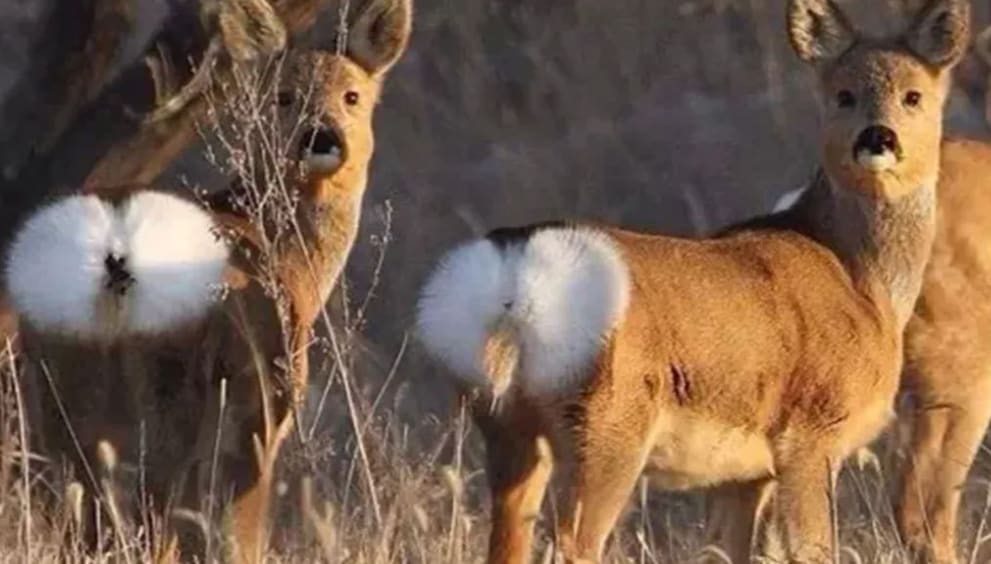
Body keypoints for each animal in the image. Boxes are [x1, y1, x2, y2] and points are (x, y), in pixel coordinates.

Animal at [1, 0, 412, 560]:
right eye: (282, 95)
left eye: (352, 94)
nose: (321, 137)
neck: (290, 260)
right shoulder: (261, 405)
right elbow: (235, 534)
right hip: (175, 397)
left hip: (58, 393)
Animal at [414, 0, 970, 562]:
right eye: (843, 94)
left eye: (913, 95)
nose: (878, 138)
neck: (861, 280)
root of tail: (514, 271)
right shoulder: (812, 433)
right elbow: (812, 548)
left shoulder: (742, 475)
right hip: (607, 423)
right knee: (573, 542)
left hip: (506, 423)